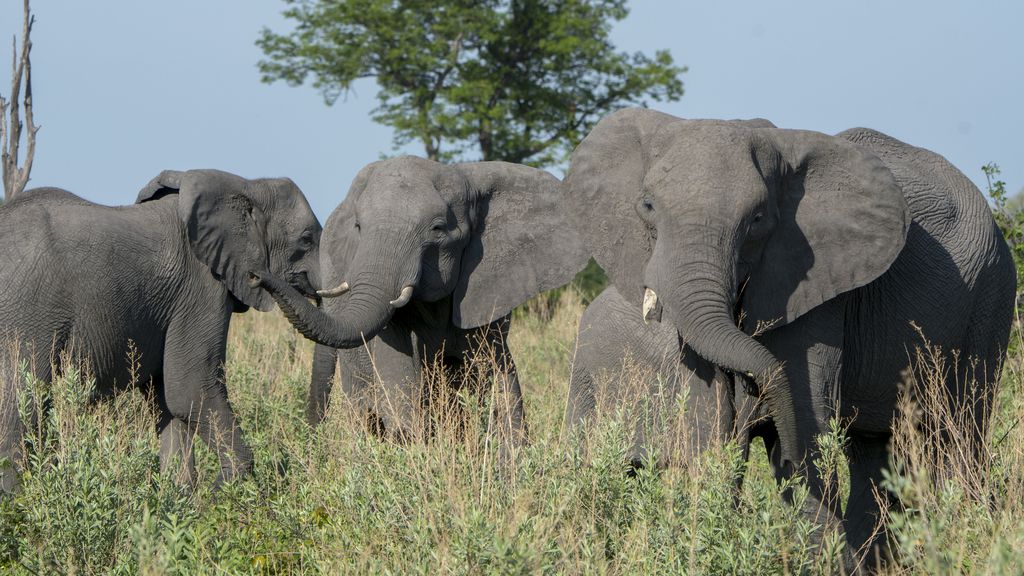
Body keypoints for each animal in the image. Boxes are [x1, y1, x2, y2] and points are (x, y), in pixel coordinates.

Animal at [0, 169, 322, 493]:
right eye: (306, 240)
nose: (260, 276)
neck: (245, 184)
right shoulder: (201, 288)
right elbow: (191, 389)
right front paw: (221, 493)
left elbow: (167, 401)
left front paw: (180, 496)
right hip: (28, 314)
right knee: (20, 403)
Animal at [563, 108, 1015, 566]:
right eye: (648, 206)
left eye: (758, 218)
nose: (752, 392)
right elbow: (716, 421)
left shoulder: (816, 287)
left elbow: (808, 423)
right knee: (874, 449)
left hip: (991, 295)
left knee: (959, 435)